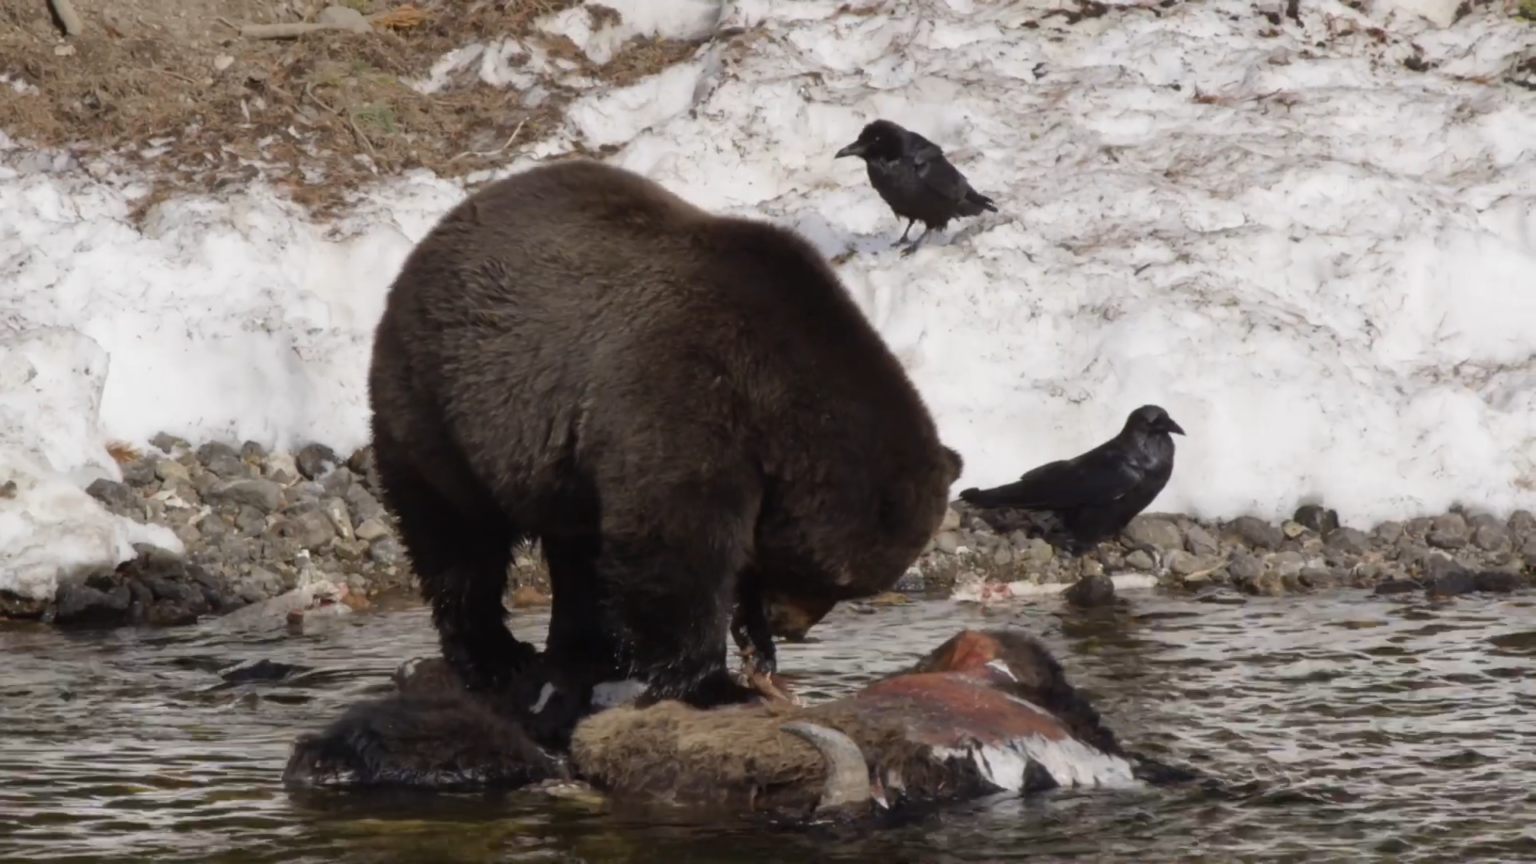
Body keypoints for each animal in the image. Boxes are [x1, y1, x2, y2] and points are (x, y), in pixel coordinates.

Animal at [366, 158, 963, 743]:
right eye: (835, 579)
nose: (793, 626)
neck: (777, 393)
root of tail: (430, 241)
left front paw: (755, 645)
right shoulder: (686, 393)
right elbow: (677, 549)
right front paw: (717, 682)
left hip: (559, 469)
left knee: (575, 552)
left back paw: (581, 652)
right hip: (446, 403)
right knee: (459, 539)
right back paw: (497, 653)